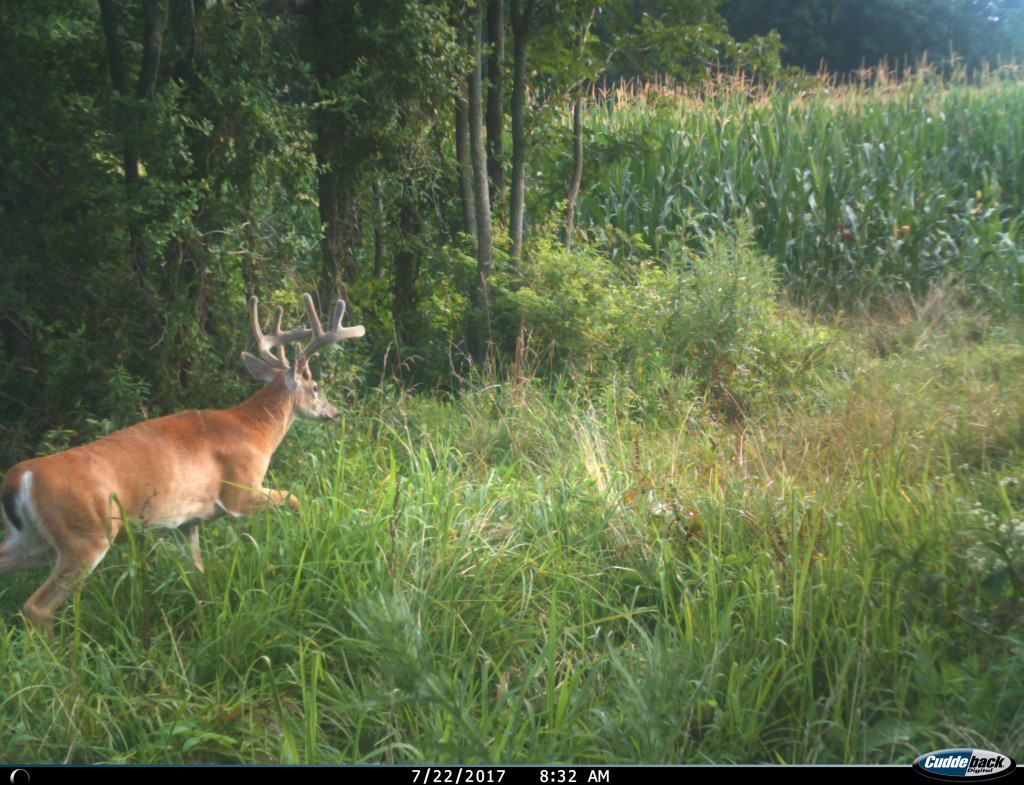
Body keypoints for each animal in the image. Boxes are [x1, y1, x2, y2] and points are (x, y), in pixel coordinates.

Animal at [0, 293, 364, 632]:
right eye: (315, 387)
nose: (335, 413)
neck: (255, 430)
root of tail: (21, 476)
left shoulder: (188, 521)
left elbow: (198, 569)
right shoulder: (240, 490)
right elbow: (295, 498)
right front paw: (309, 535)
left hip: (33, 542)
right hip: (85, 535)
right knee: (37, 607)